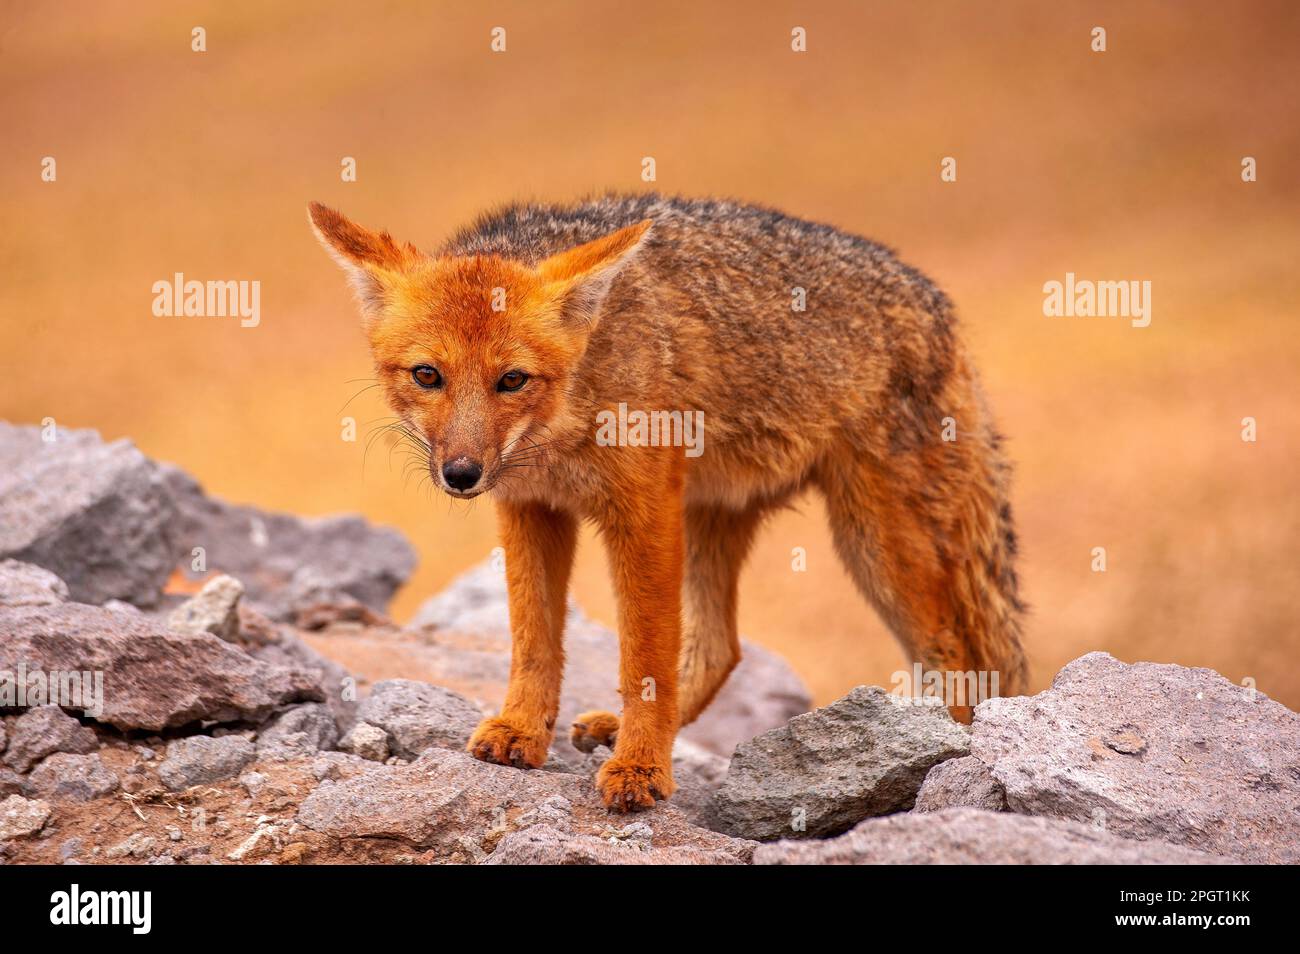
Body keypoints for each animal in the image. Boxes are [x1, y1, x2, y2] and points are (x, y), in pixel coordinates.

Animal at [309, 193, 1027, 812]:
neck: (565, 431)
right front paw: (522, 730)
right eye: (428, 375)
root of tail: (935, 301)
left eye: (511, 380)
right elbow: (533, 639)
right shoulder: (530, 510)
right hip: (719, 515)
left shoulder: (642, 513)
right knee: (723, 646)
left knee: (957, 658)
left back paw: (948, 762)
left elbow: (643, 658)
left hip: (875, 547)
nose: (461, 474)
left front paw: (640, 769)